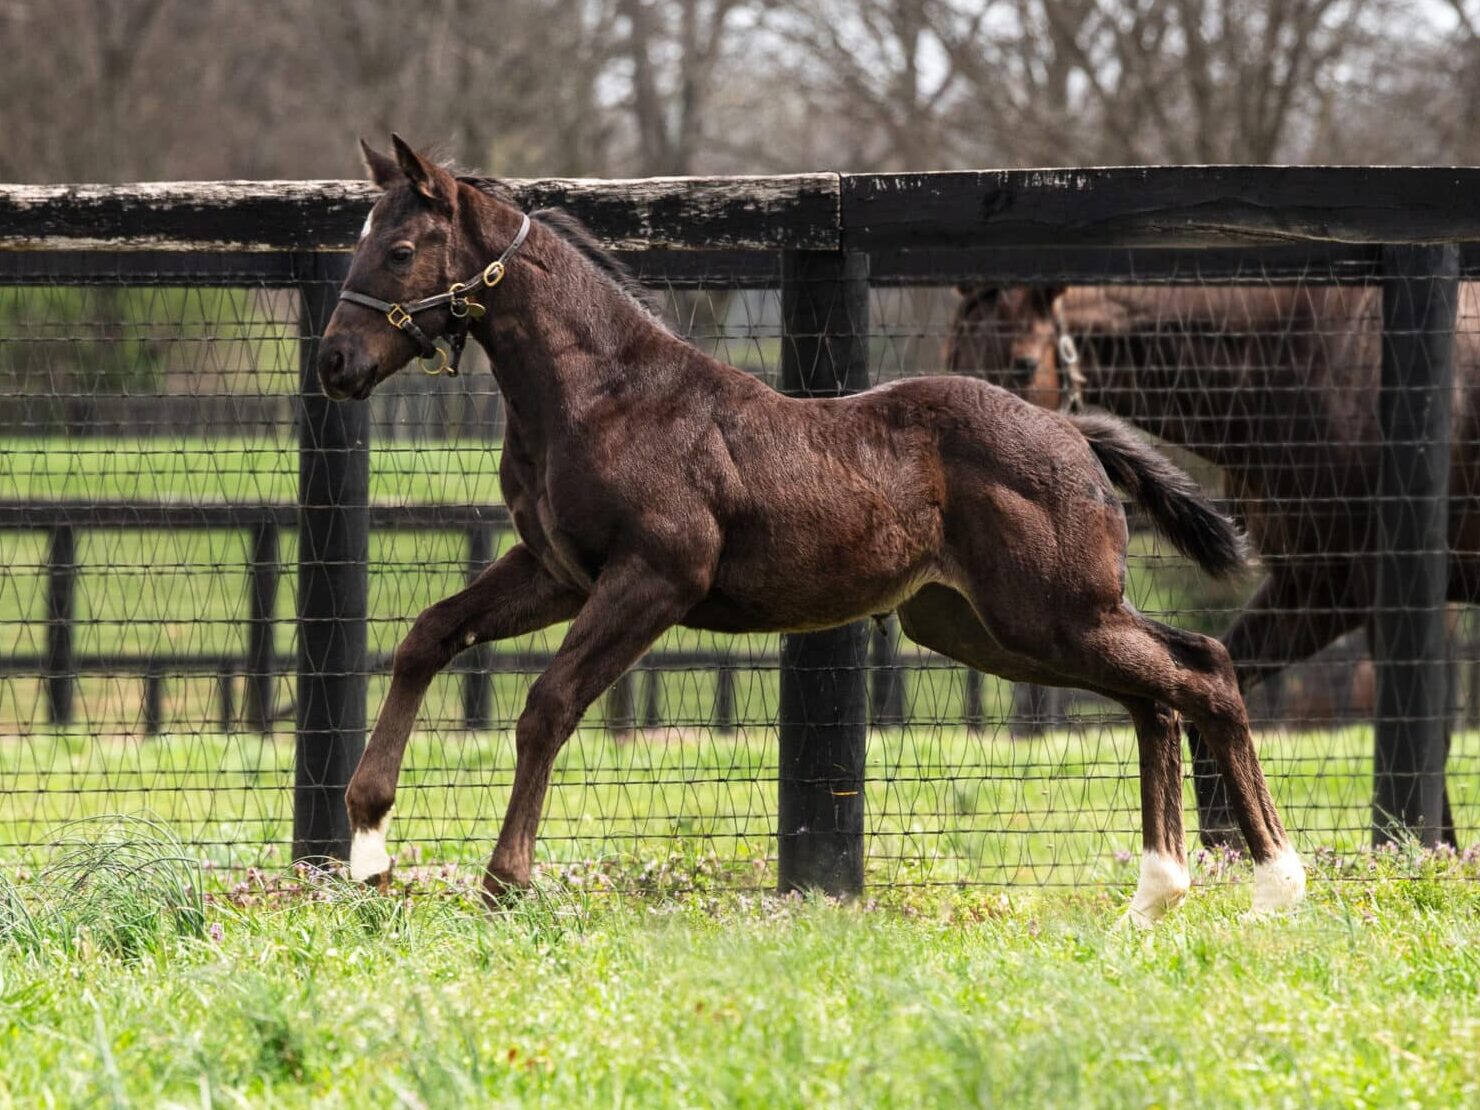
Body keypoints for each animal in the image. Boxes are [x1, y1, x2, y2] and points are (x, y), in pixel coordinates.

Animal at [316, 135, 1306, 923]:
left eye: (399, 249)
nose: (335, 363)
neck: (603, 394)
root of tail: (1074, 434)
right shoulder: (556, 570)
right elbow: (428, 636)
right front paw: (368, 842)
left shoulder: (653, 579)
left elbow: (547, 706)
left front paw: (505, 883)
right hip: (988, 626)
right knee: (1162, 692)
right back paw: (1155, 897)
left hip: (1055, 614)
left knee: (1203, 673)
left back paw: (1275, 885)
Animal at [948, 282, 1480, 848]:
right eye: (954, 354)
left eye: (1024, 363)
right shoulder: (1315, 586)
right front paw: (1229, 843)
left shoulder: (1382, 591)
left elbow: (1423, 732)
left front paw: (1432, 848)